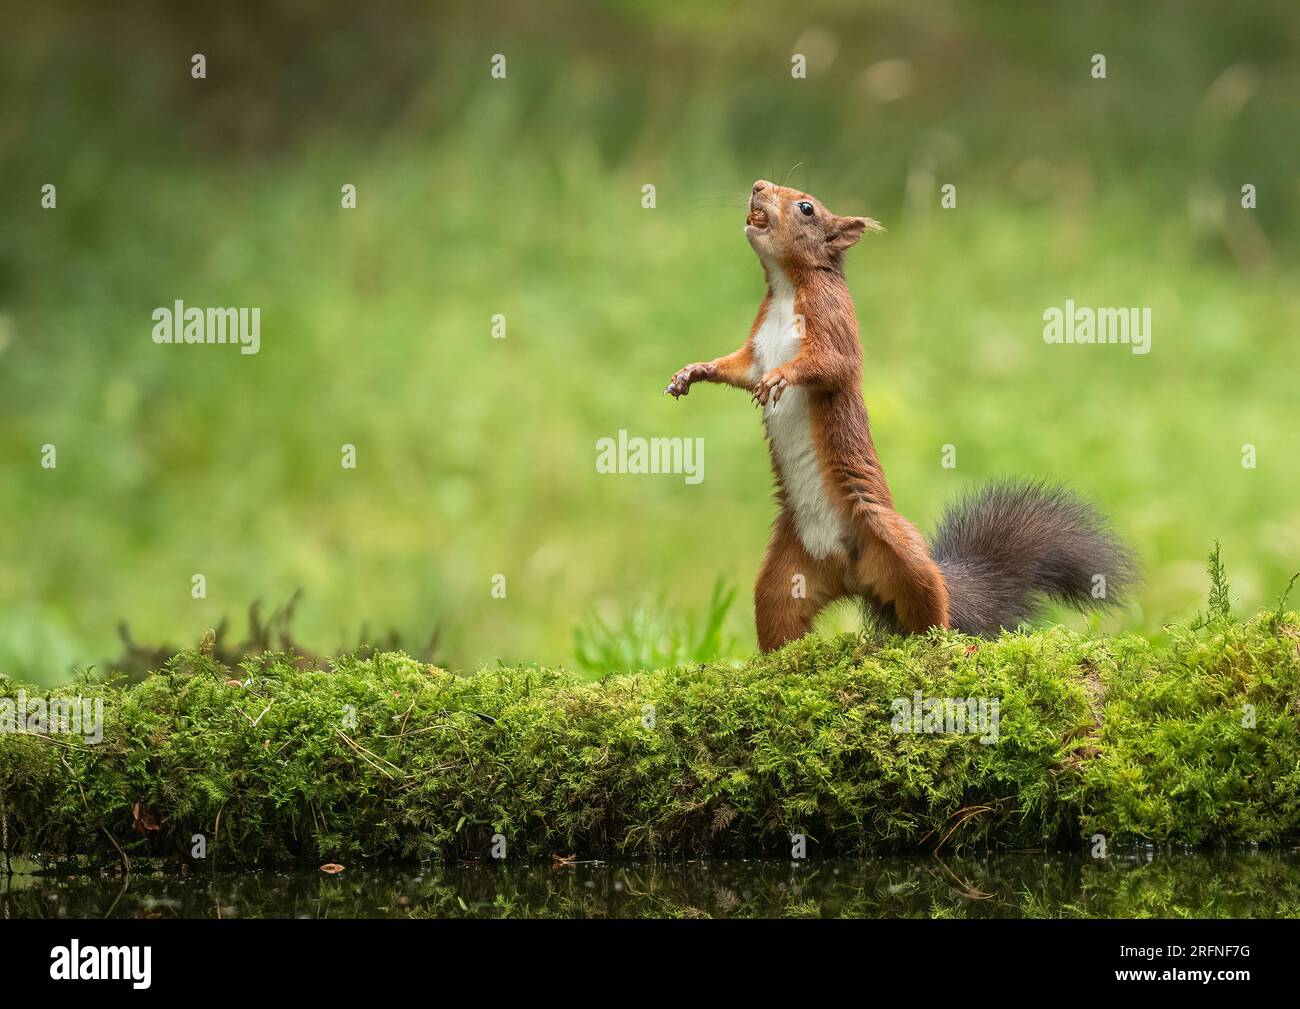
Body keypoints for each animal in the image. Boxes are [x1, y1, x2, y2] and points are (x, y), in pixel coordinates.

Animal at [665, 179, 1136, 651]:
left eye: (806, 207)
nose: (759, 186)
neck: (785, 289)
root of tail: (851, 575)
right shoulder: (758, 344)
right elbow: (740, 368)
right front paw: (693, 372)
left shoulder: (832, 321)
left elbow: (830, 364)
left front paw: (782, 377)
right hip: (786, 575)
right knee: (779, 615)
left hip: (897, 546)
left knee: (931, 606)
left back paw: (947, 643)